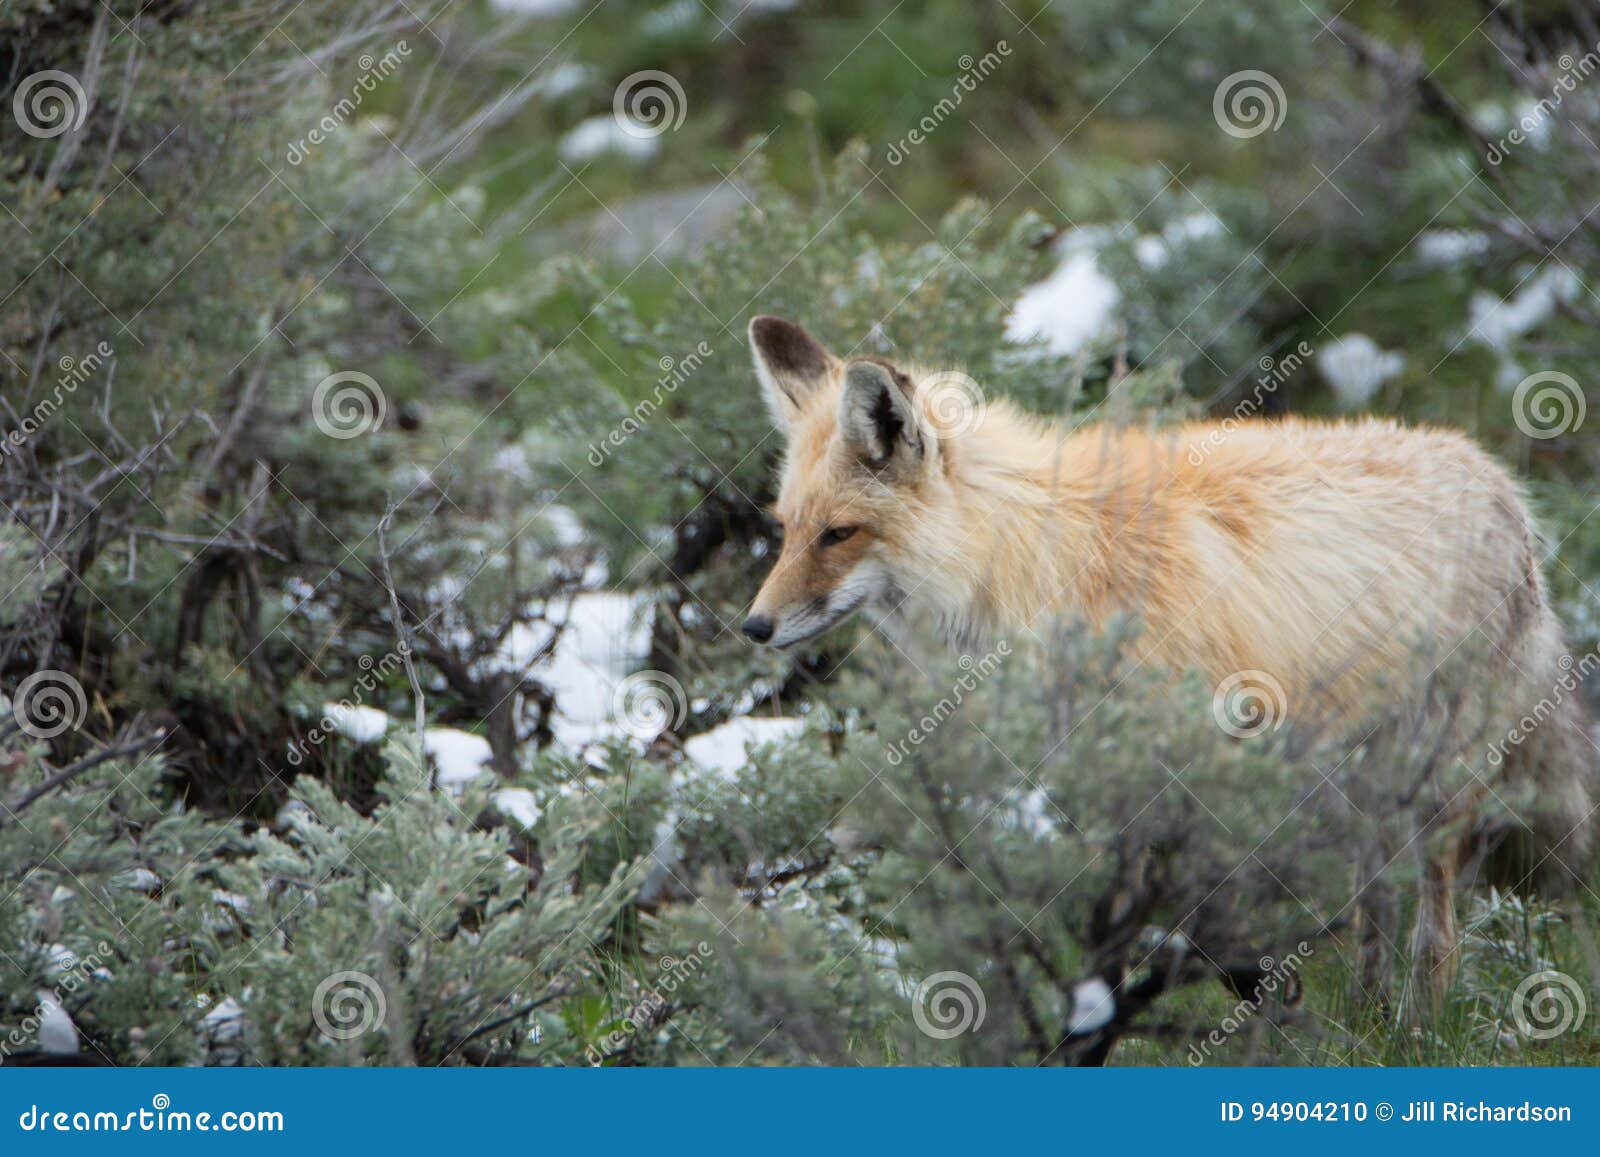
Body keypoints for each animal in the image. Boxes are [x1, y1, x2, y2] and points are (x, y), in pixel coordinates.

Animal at [740, 314, 1598, 1006]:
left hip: (1432, 787)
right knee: (1374, 919)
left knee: (1436, 939)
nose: (754, 626)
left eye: (839, 534)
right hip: (1362, 787)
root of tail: (1504, 489)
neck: (1034, 564)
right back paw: (1367, 1018)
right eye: (784, 529)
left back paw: (1414, 1030)